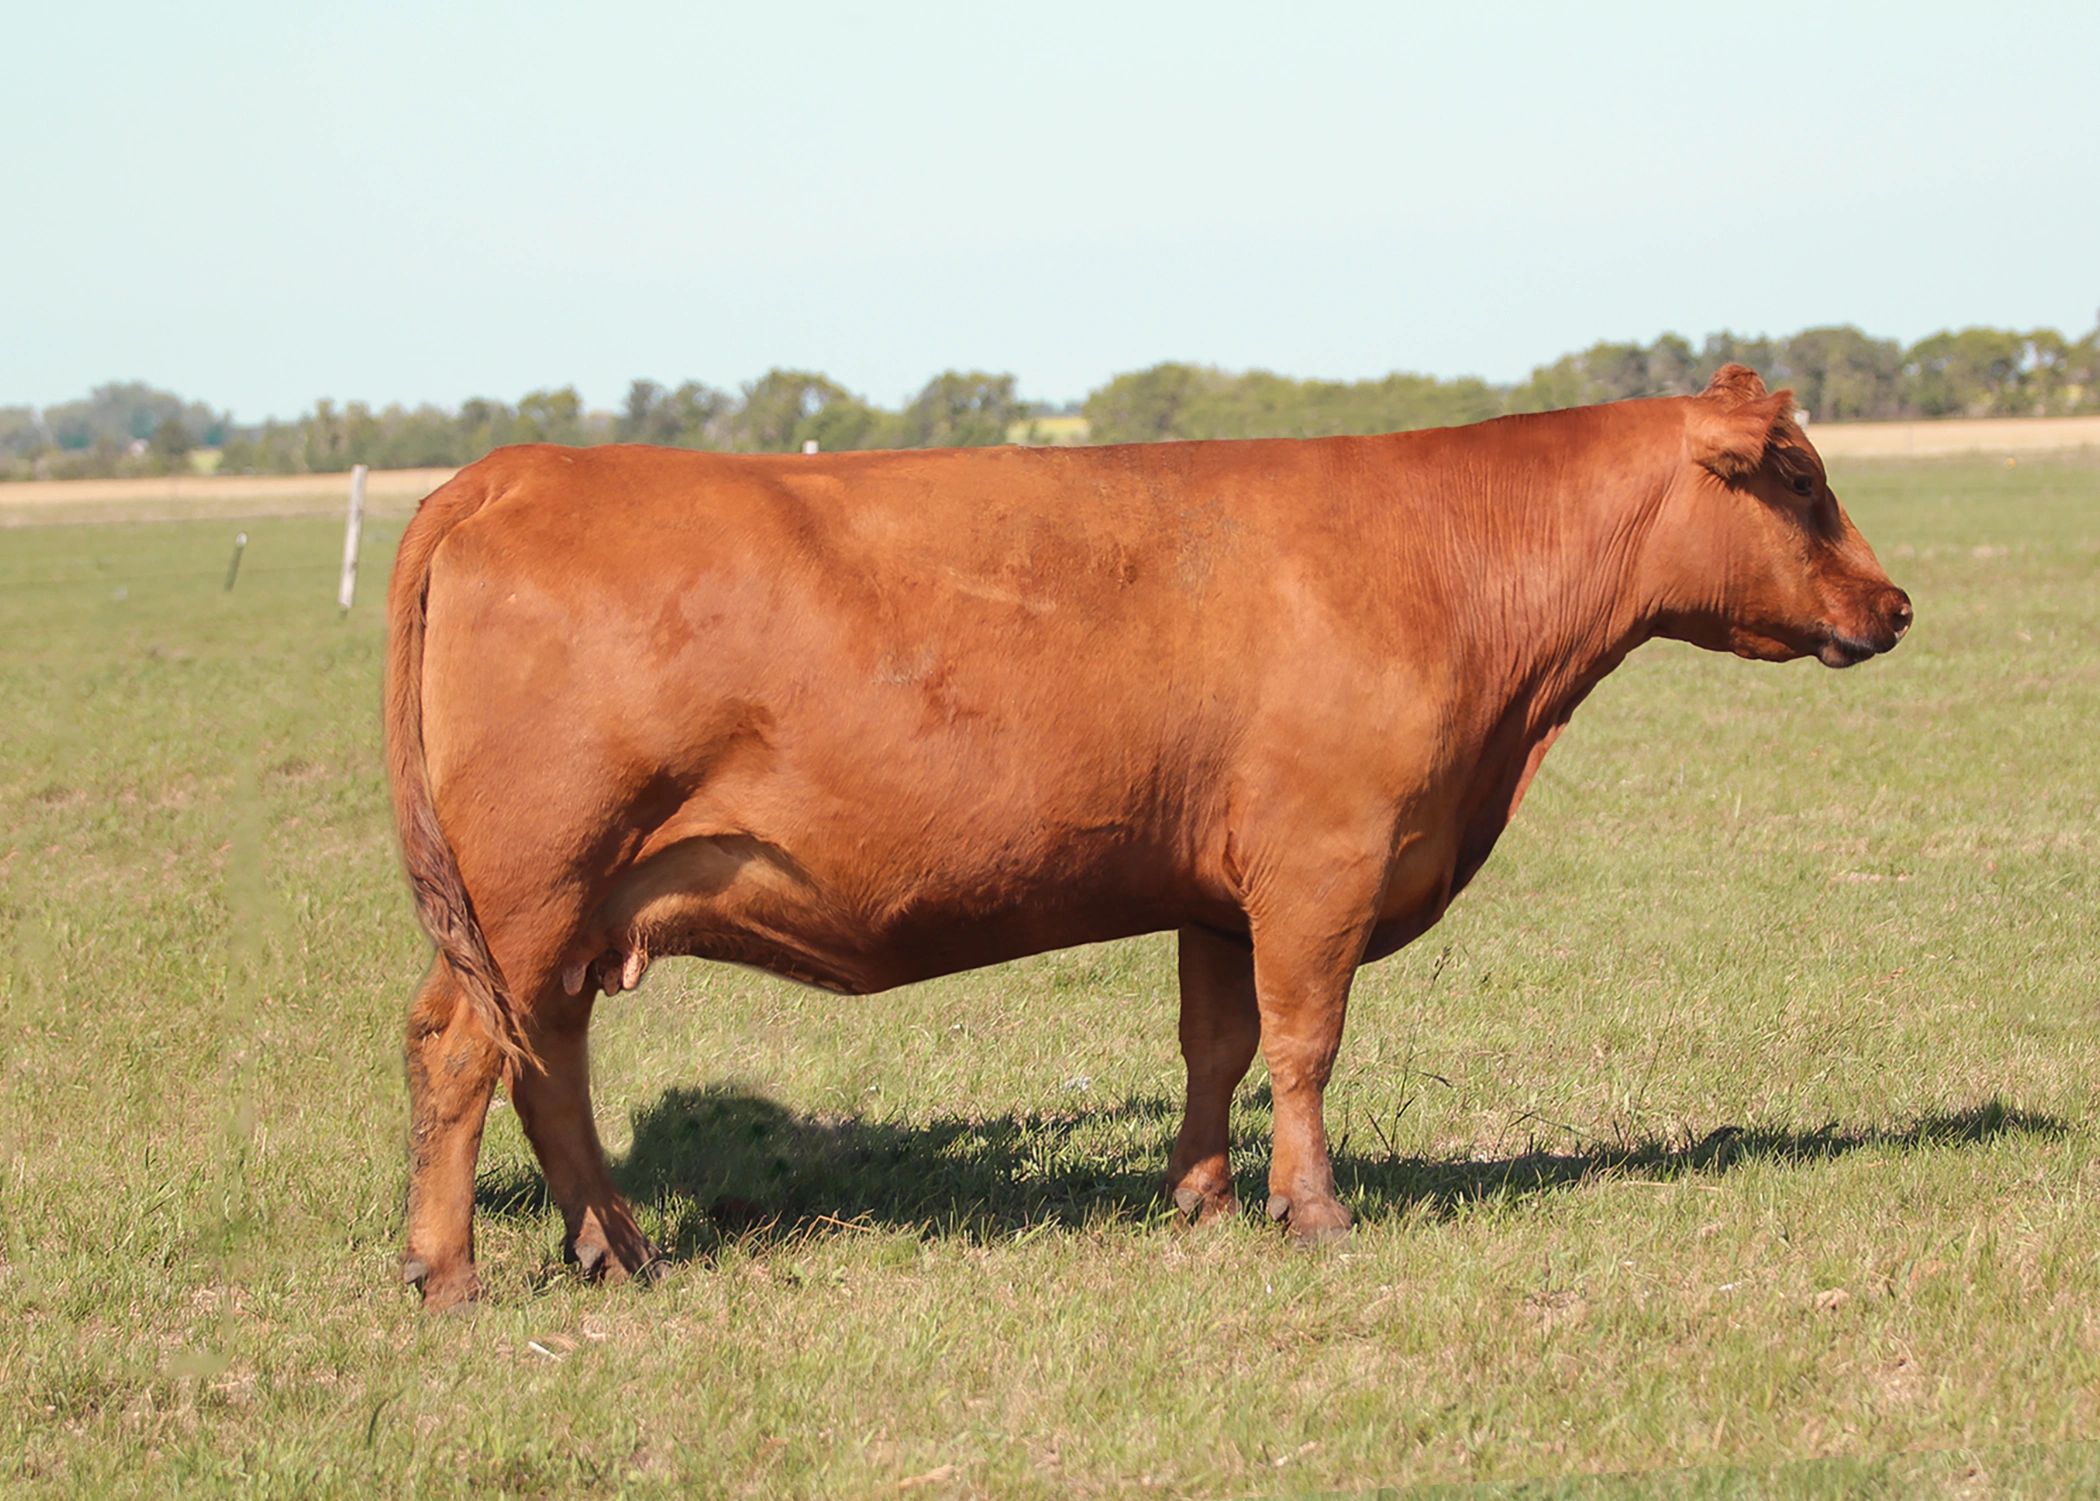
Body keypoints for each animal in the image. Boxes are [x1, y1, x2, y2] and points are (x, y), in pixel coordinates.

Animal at [384, 364, 1911, 1309]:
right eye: (1796, 477)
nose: (1894, 605)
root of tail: (514, 471)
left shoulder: (1220, 894)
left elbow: (1217, 1045)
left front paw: (1203, 1199)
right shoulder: (1322, 863)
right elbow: (1304, 1044)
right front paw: (1315, 1210)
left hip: (558, 916)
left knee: (543, 1065)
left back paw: (615, 1249)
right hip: (529, 892)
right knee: (467, 1057)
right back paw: (453, 1272)